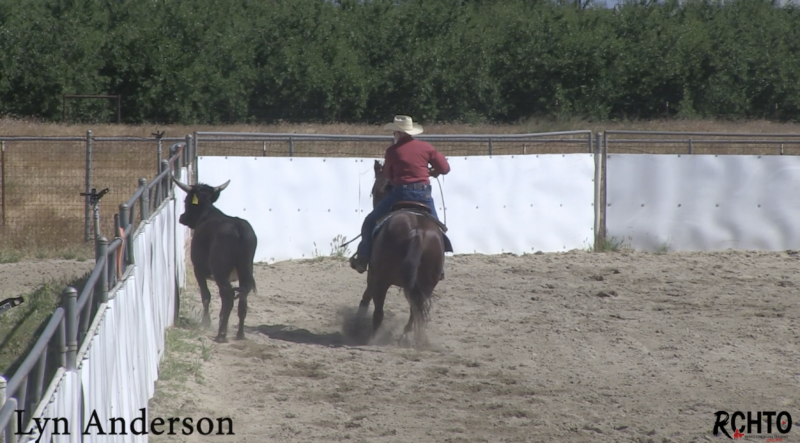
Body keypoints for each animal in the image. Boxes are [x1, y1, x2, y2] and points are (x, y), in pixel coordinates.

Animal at [172, 176, 258, 343]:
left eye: (186, 200)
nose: (181, 217)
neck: (207, 213)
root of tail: (239, 229)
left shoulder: (198, 270)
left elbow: (206, 295)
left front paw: (206, 322)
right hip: (245, 271)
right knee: (243, 296)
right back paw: (240, 334)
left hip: (220, 272)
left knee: (228, 296)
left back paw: (221, 333)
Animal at [355, 159, 450, 346]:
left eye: (373, 190)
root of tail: (417, 231)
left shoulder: (373, 274)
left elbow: (367, 293)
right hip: (426, 285)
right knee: (415, 312)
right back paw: (409, 337)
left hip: (382, 279)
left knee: (379, 312)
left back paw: (372, 338)